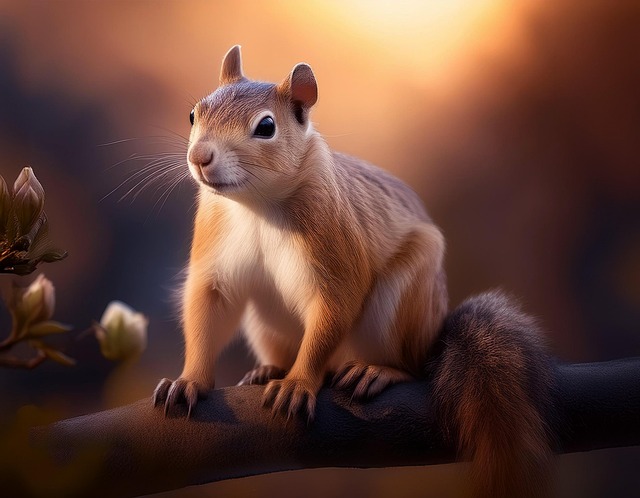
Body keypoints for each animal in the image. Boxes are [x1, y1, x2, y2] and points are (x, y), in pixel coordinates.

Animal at [153, 45, 555, 498]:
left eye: (266, 127)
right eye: (194, 114)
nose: (199, 157)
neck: (256, 204)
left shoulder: (335, 250)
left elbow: (332, 310)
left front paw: (298, 385)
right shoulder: (214, 248)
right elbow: (207, 309)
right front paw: (189, 381)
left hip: (403, 304)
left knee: (408, 363)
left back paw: (375, 370)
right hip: (266, 323)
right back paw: (269, 369)